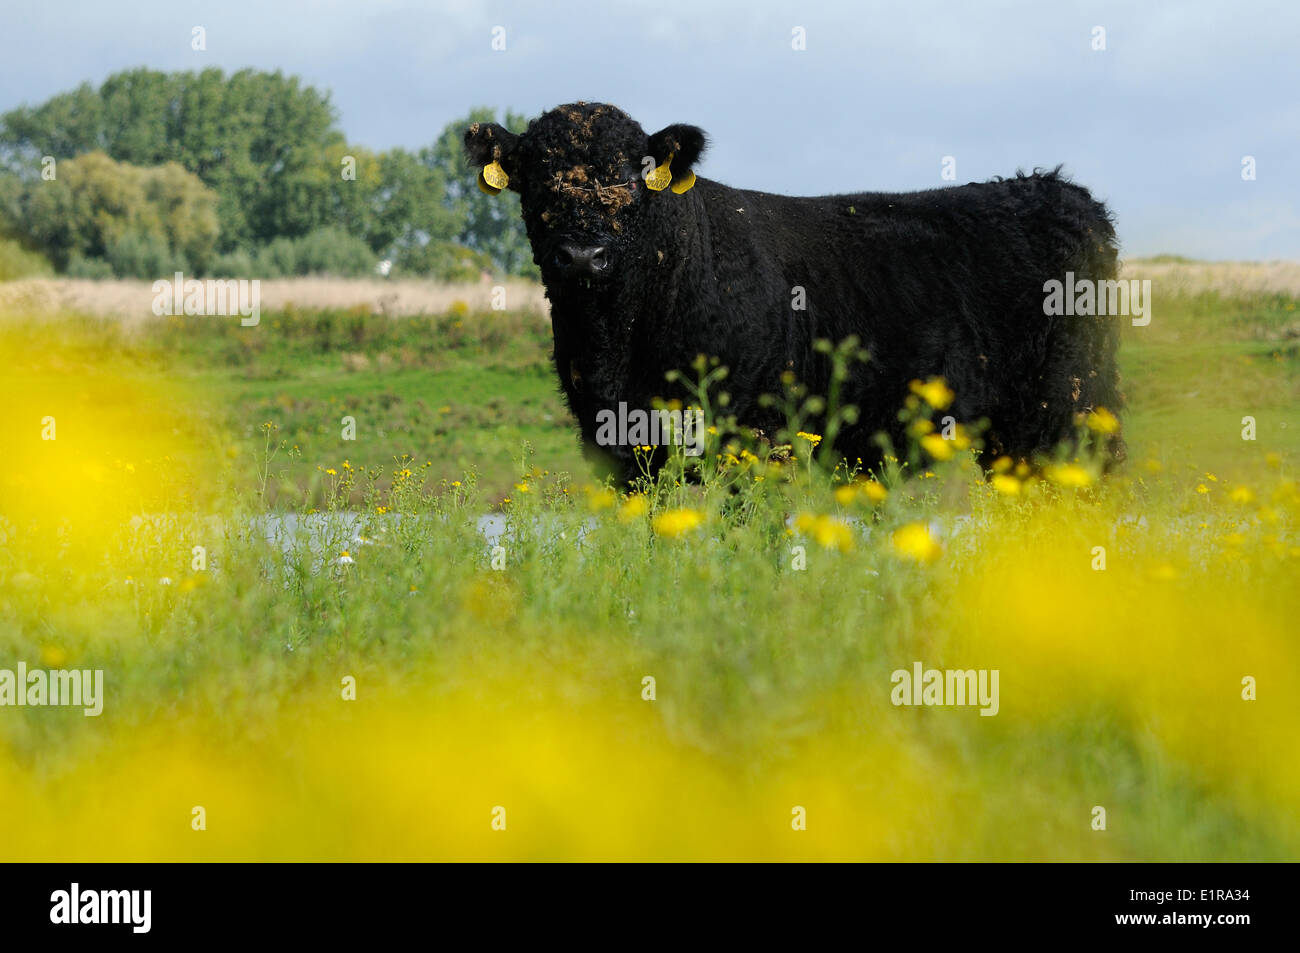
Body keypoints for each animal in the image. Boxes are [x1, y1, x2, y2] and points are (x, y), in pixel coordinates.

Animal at [464, 102, 1124, 483]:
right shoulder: (613, 436)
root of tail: (1052, 189)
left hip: (1069, 404)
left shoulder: (749, 430)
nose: (582, 255)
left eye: (633, 172)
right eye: (535, 177)